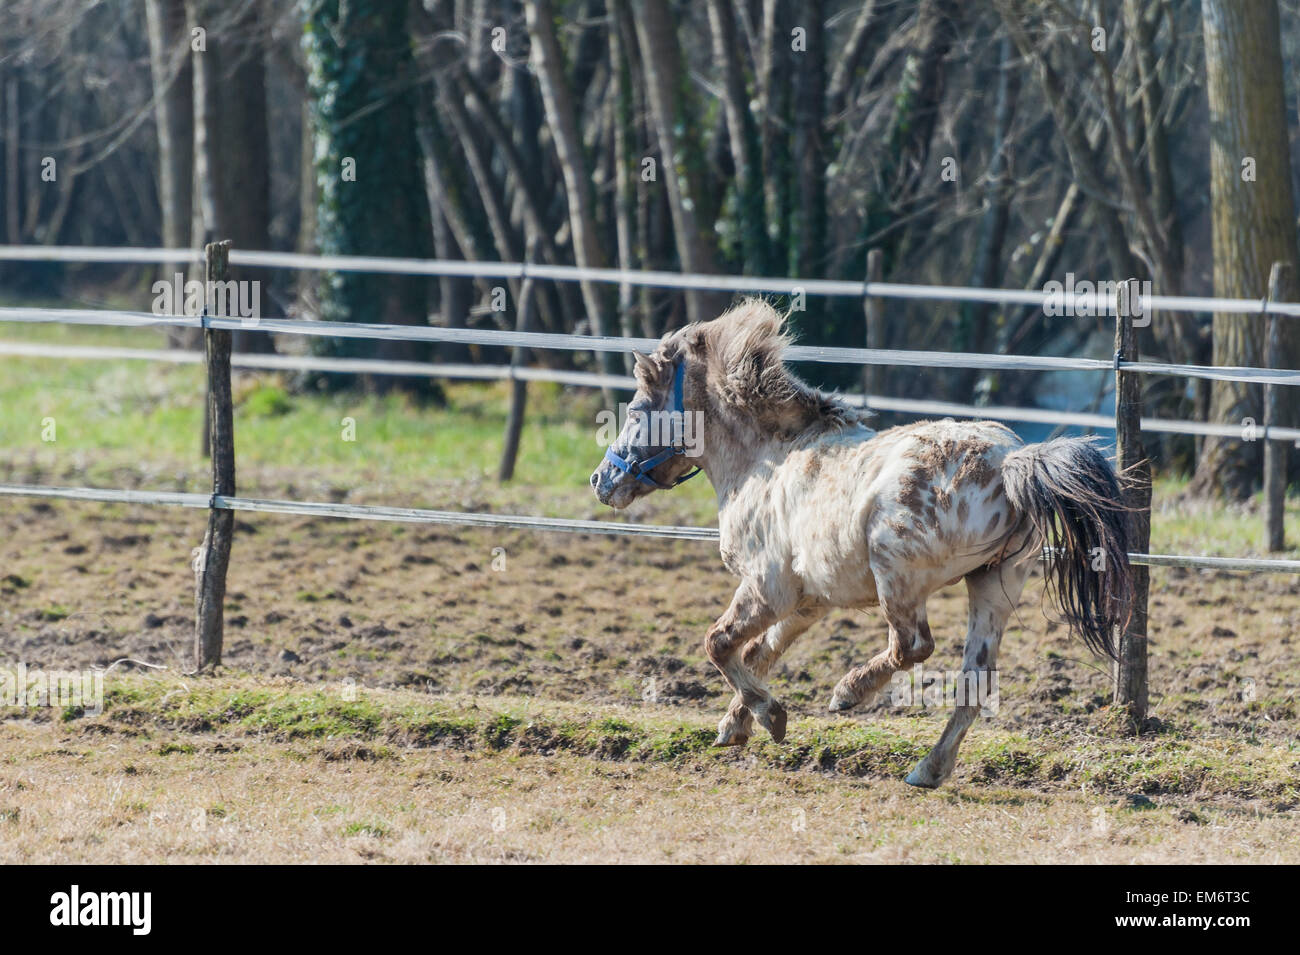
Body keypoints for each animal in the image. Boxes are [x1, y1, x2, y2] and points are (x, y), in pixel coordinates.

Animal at [589, 299, 1133, 788]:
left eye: (636, 409)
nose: (601, 480)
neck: (766, 459)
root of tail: (1010, 460)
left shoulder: (766, 589)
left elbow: (719, 644)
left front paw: (770, 716)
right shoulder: (808, 602)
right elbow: (758, 653)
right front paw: (735, 726)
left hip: (897, 575)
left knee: (913, 645)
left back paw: (849, 693)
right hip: (993, 584)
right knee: (974, 680)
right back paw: (927, 770)